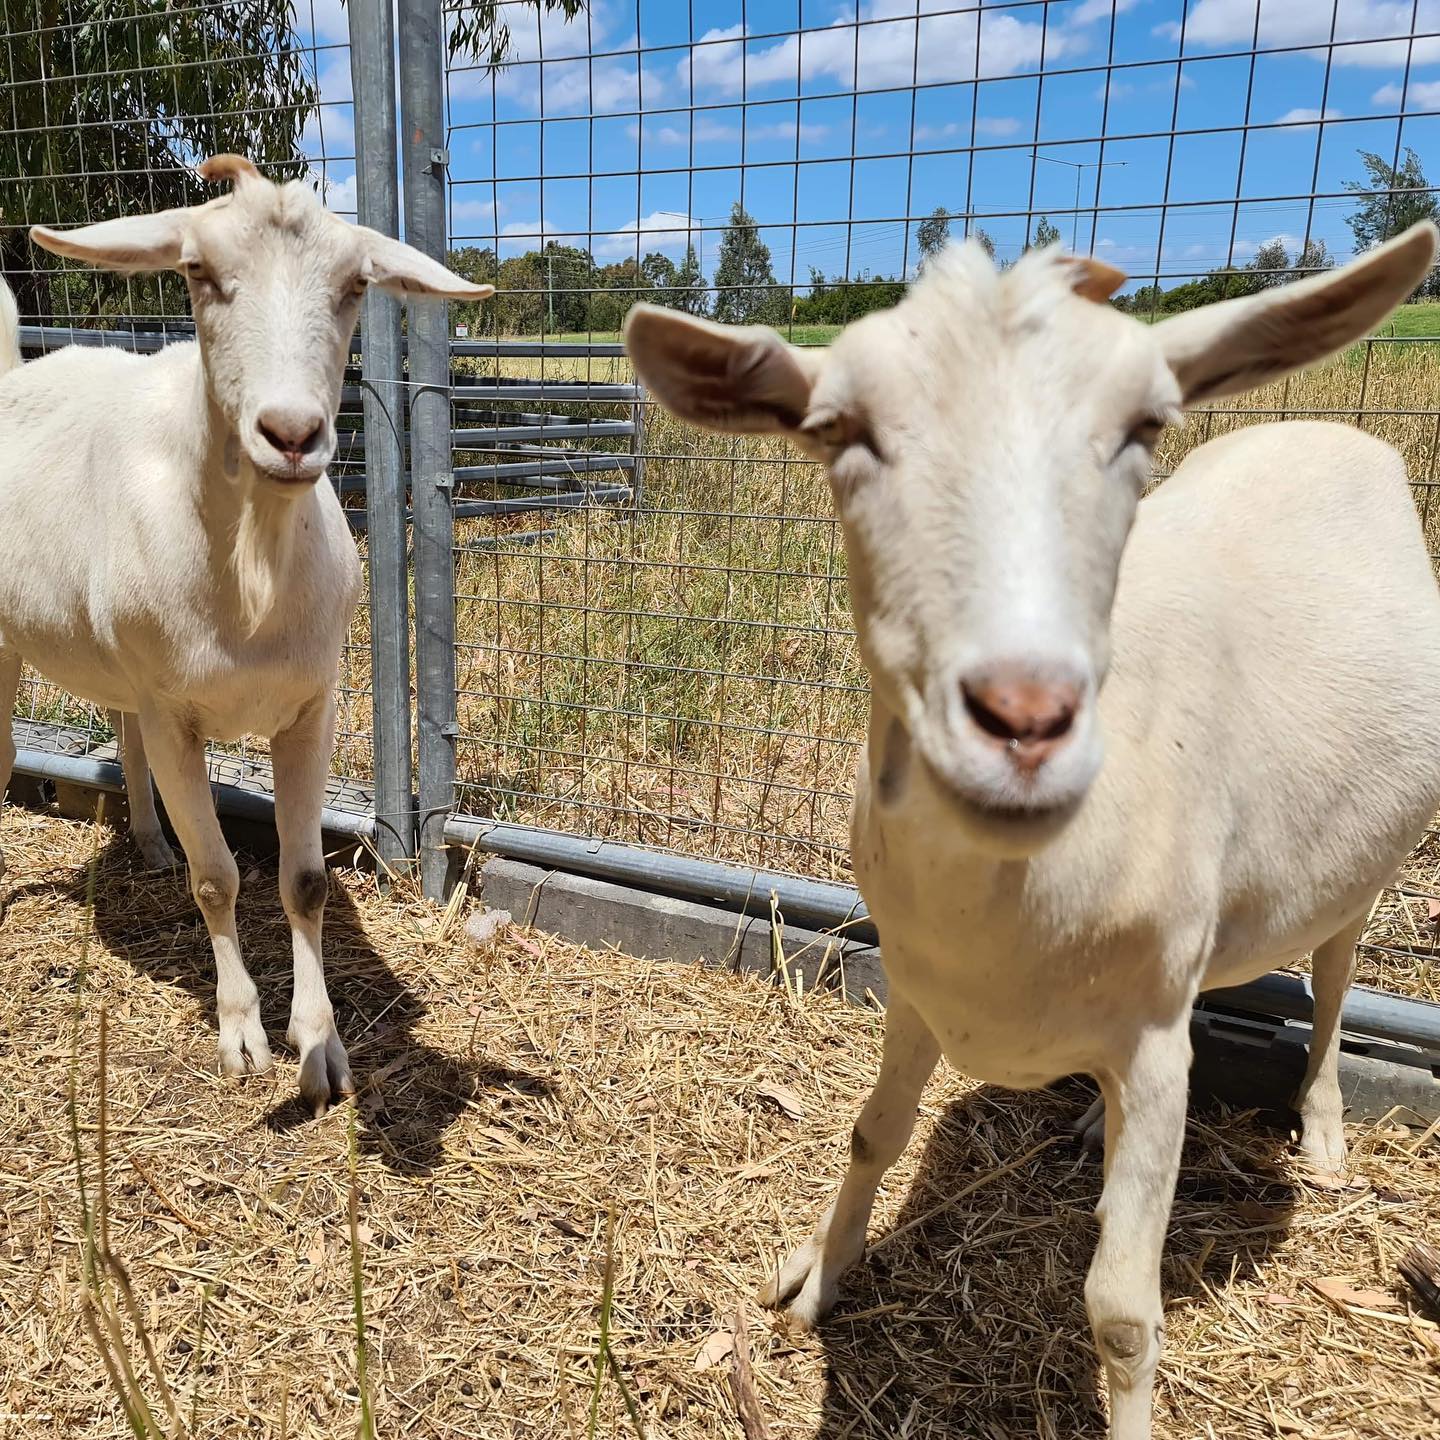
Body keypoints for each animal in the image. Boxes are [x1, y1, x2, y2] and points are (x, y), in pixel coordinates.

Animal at [0, 155, 492, 1115]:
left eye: (354, 286)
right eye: (198, 272)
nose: (293, 434)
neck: (251, 576)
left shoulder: (312, 704)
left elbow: (304, 879)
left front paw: (322, 1049)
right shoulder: (176, 710)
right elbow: (219, 876)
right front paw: (241, 1035)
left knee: (121, 735)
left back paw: (151, 845)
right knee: (9, 753)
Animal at [624, 221, 1440, 1439]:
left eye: (1146, 425)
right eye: (837, 429)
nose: (1022, 719)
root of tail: (1331, 434)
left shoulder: (1150, 1041)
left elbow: (1122, 1310)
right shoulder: (919, 985)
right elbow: (870, 1131)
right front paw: (815, 1278)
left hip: (1365, 864)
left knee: (1338, 974)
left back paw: (1328, 1129)